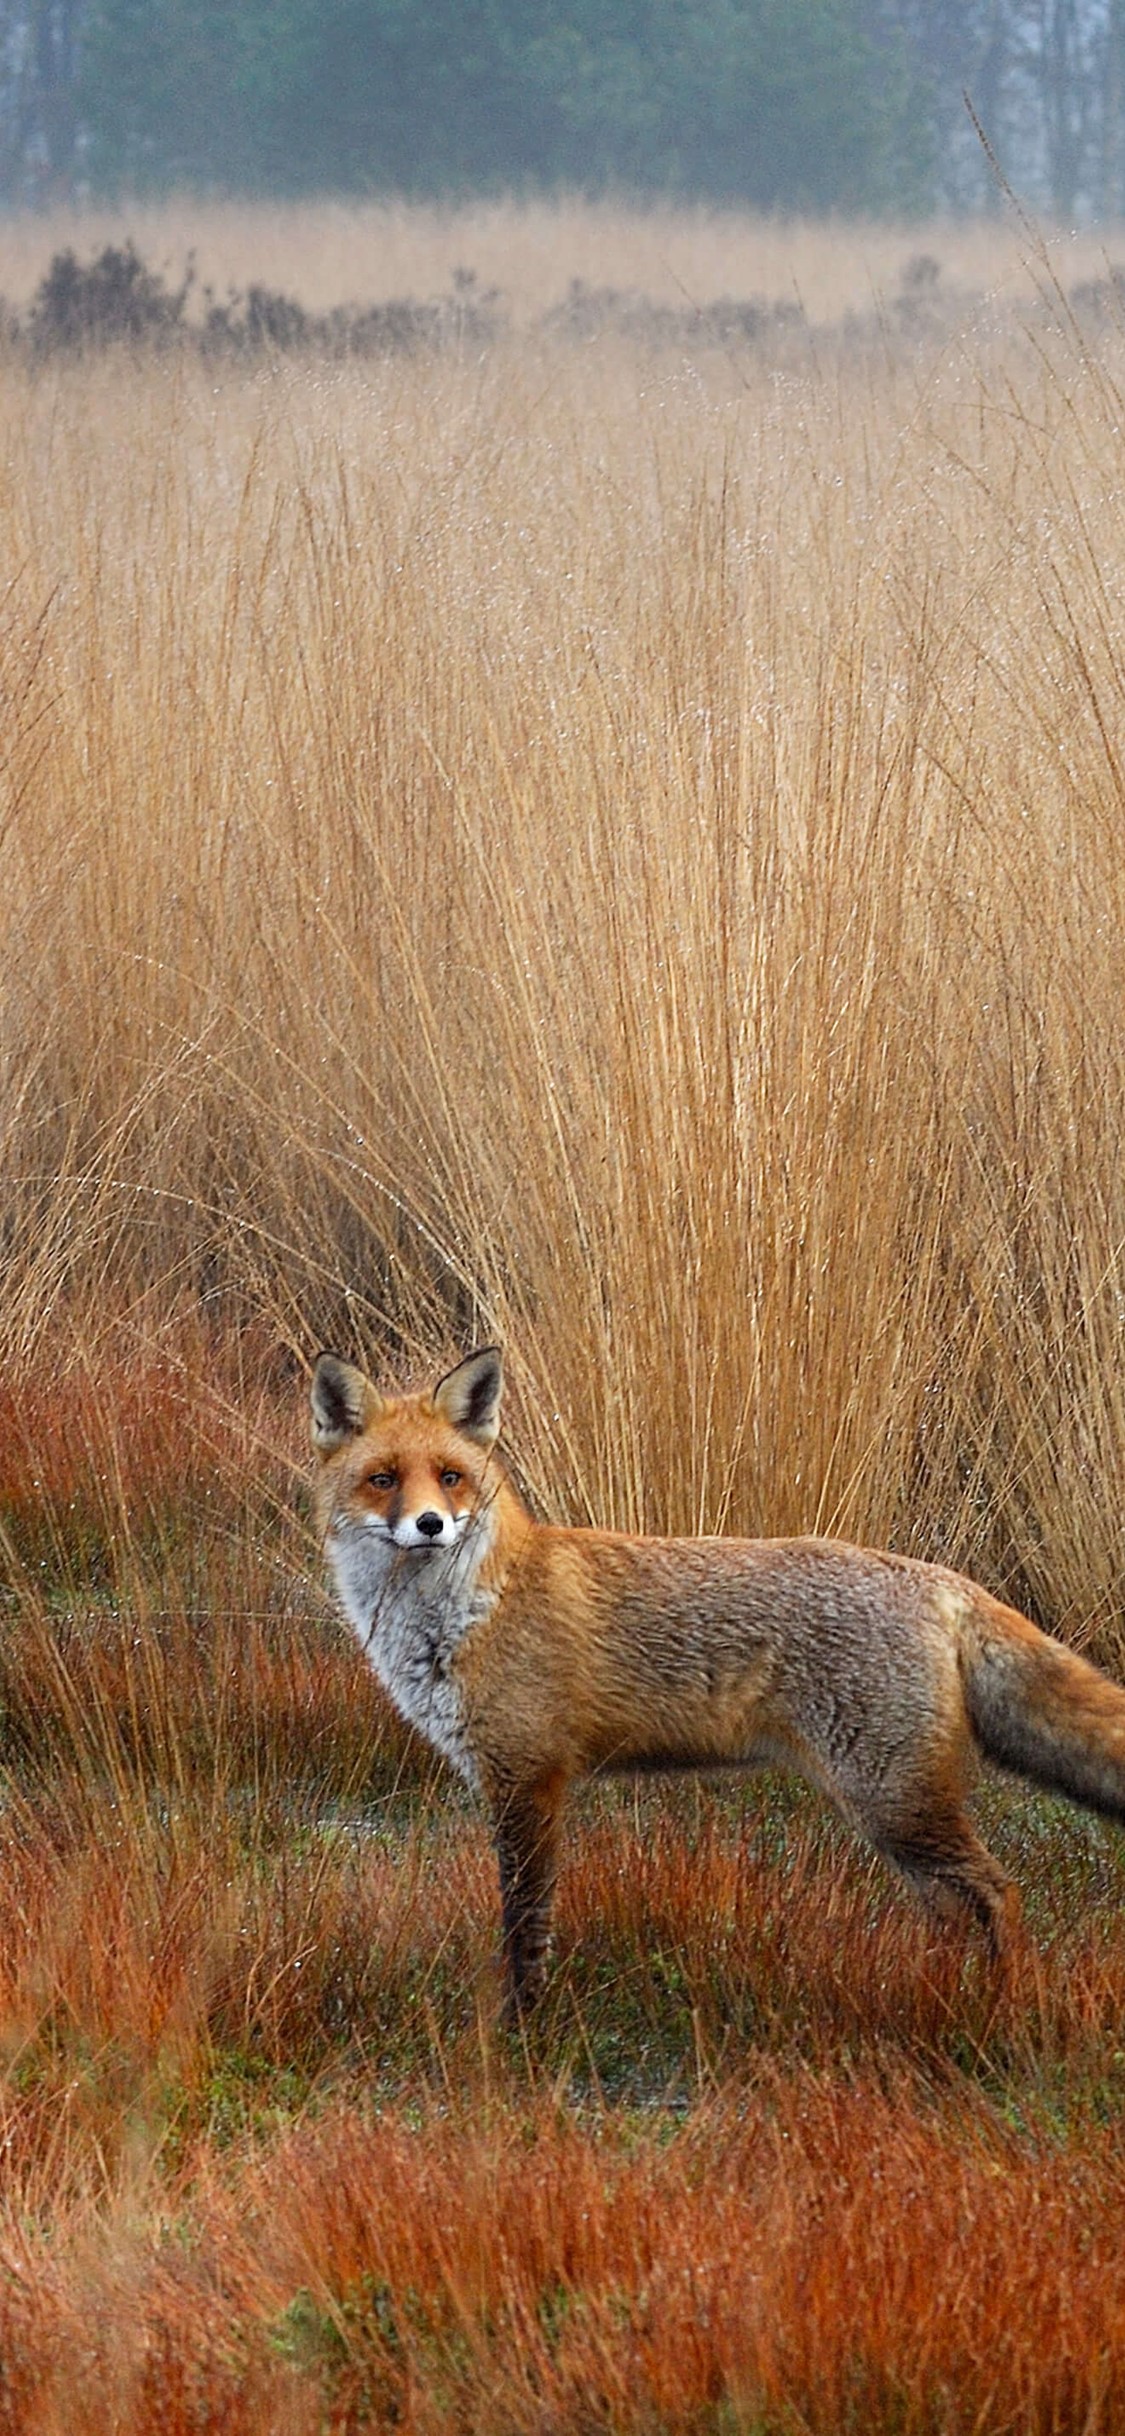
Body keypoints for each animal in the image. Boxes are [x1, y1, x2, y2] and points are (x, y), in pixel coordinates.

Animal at [310, 1342, 1125, 2017]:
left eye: (449, 1479)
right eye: (383, 1480)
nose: (430, 1526)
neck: (469, 1610)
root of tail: (941, 1578)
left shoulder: (528, 1778)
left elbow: (524, 1922)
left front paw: (520, 2025)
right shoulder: (515, 1778)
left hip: (893, 1803)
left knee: (998, 1892)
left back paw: (998, 2009)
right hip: (899, 1815)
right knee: (956, 1909)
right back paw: (942, 1998)